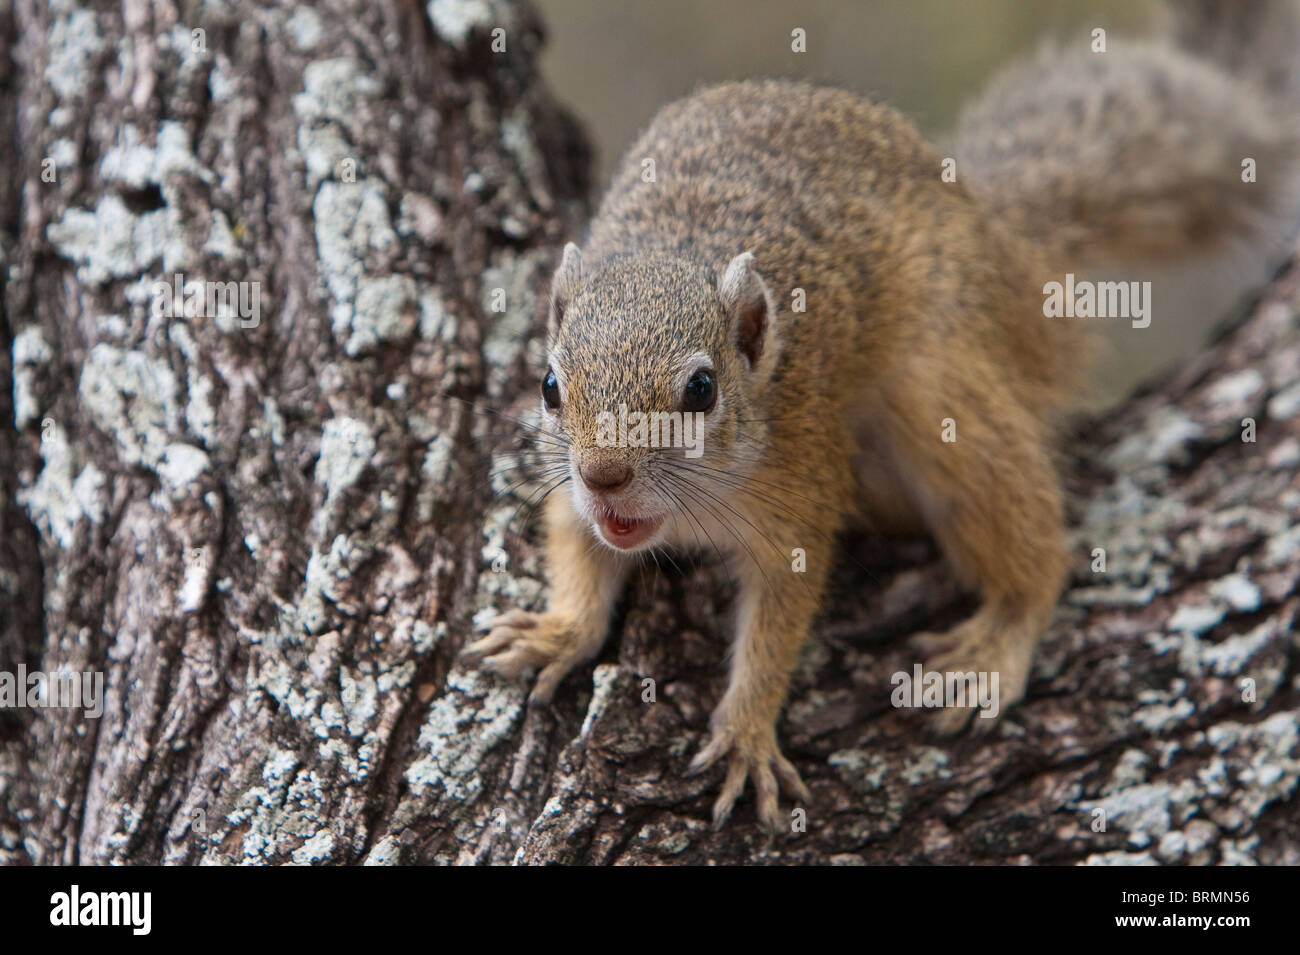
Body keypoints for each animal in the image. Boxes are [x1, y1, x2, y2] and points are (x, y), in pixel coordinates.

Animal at [467, 1, 1300, 830]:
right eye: (549, 385)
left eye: (701, 389)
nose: (604, 475)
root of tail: (1005, 247)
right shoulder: (569, 491)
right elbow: (575, 543)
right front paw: (557, 630)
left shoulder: (799, 487)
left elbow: (780, 618)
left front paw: (747, 729)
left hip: (942, 388)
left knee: (1031, 540)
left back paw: (1000, 638)